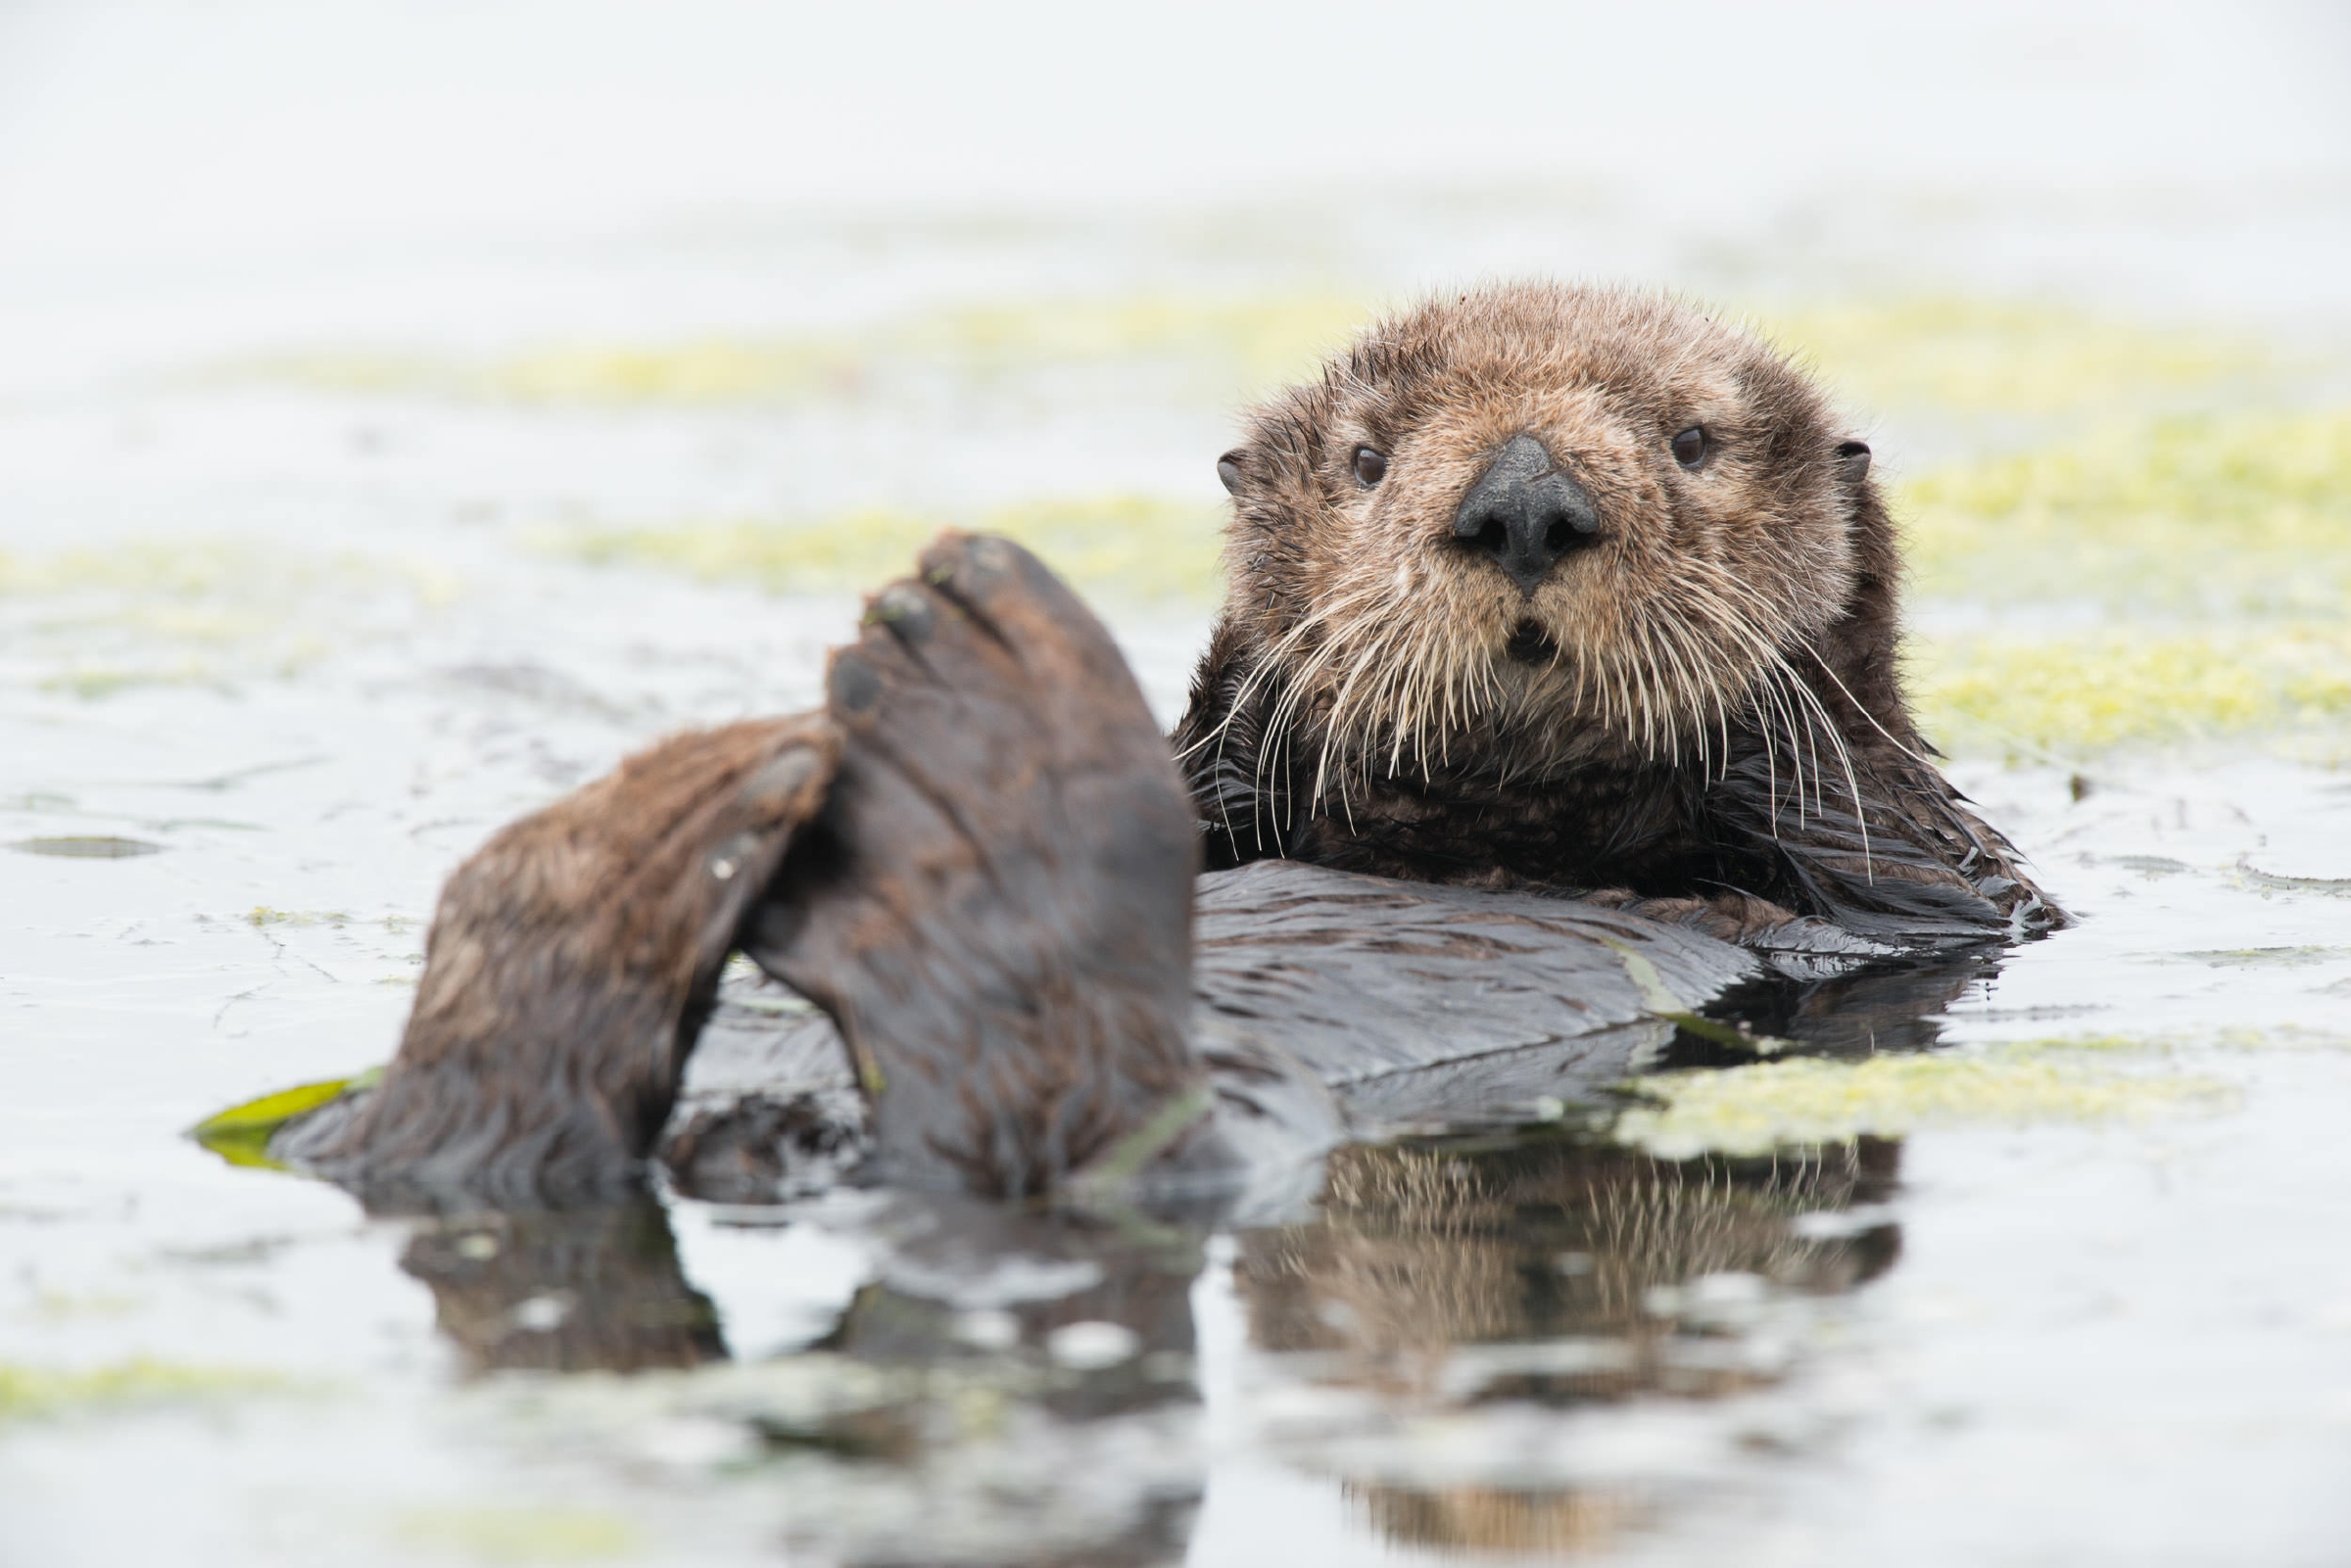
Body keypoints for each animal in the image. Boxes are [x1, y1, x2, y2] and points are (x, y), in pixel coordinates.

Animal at [231, 283, 2056, 1208]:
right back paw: (634, 842)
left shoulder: (1936, 889)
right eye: (1371, 456)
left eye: (1692, 441)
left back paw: (968, 735)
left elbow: (1877, 835)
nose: (1525, 498)